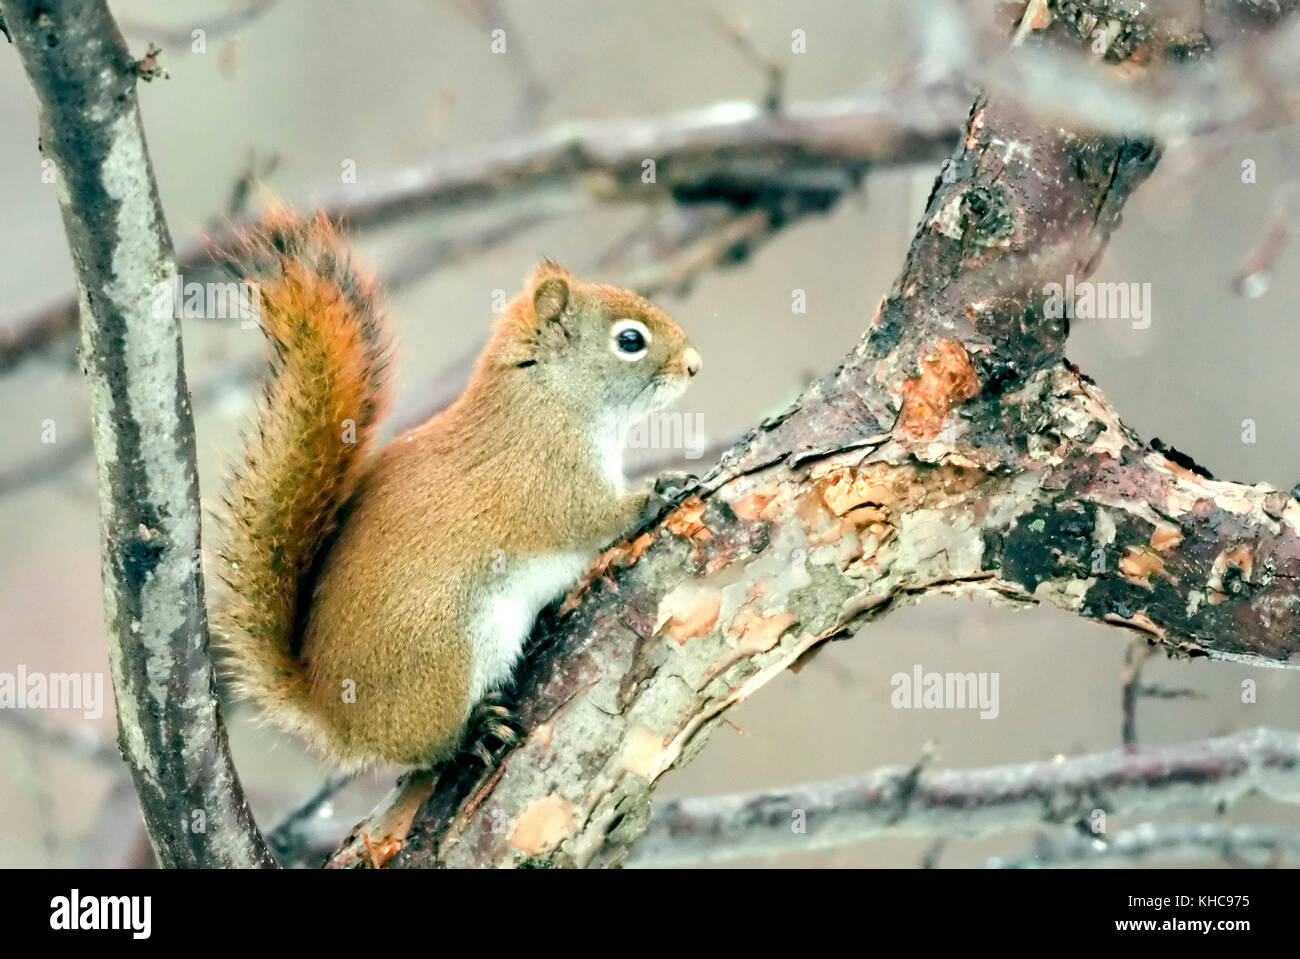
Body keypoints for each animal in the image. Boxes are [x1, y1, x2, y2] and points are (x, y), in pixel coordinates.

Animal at [212, 209, 701, 770]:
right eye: (630, 341)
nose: (694, 365)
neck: (547, 397)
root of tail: (335, 715)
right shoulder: (543, 478)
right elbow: (588, 518)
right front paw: (655, 493)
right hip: (444, 652)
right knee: (423, 747)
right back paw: (474, 731)